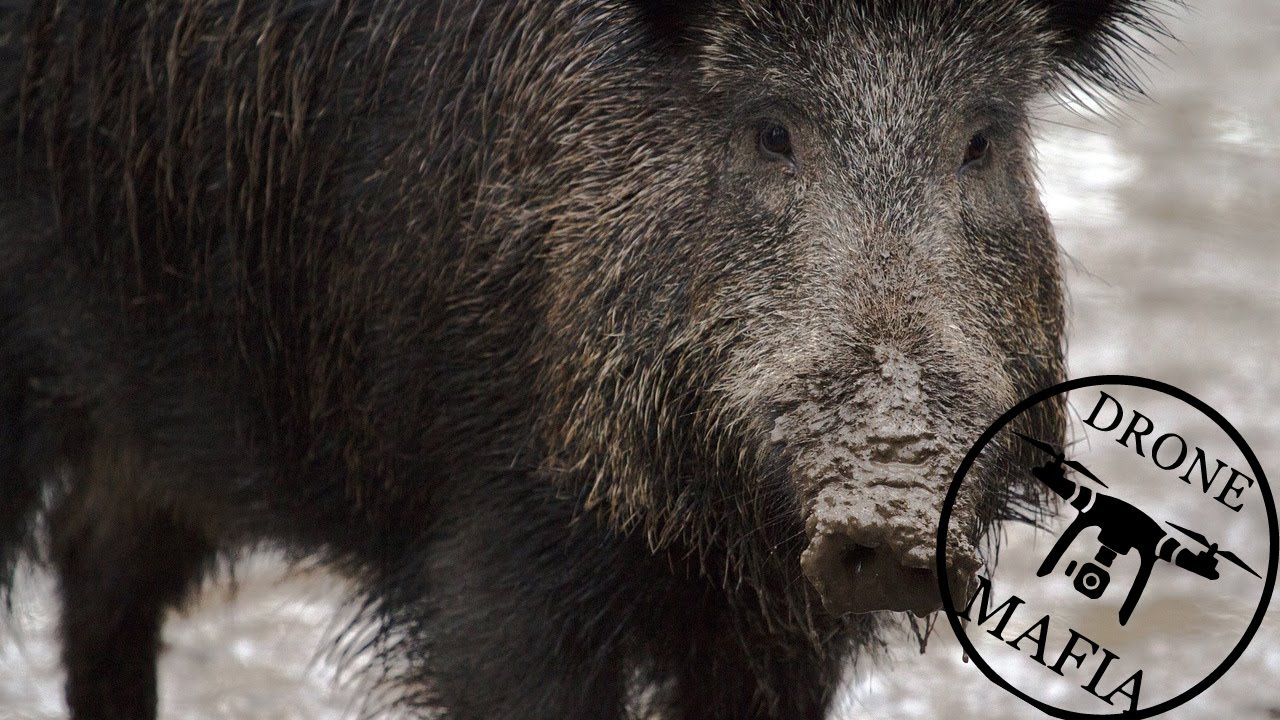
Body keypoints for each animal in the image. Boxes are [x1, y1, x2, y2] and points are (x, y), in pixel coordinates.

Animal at [0, 0, 1166, 718]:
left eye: (980, 141)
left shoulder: (780, 625)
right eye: (770, 131)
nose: (892, 519)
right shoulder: (498, 543)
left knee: (100, 559)